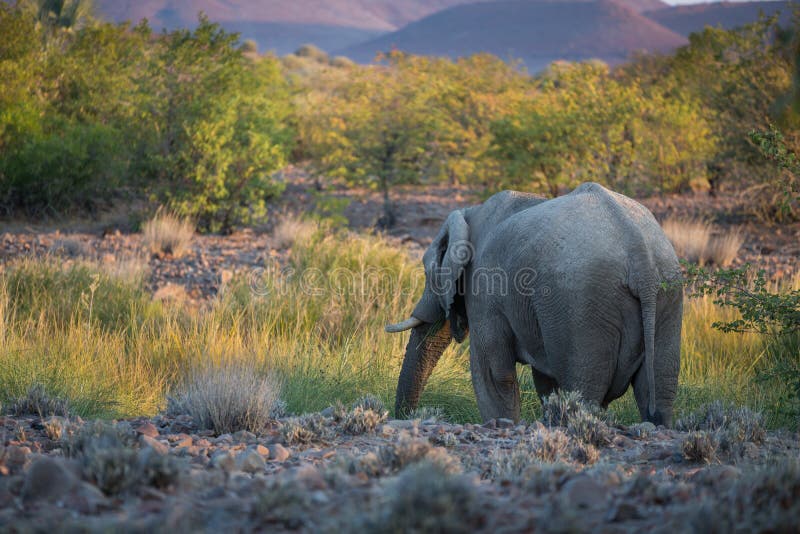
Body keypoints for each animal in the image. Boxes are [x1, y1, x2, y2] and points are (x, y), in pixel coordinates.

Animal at [386, 182, 683, 426]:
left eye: (427, 271)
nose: (403, 417)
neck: (472, 213)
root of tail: (641, 258)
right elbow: (544, 380)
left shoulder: (485, 289)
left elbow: (493, 372)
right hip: (666, 294)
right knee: (659, 390)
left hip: (584, 306)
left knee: (585, 389)